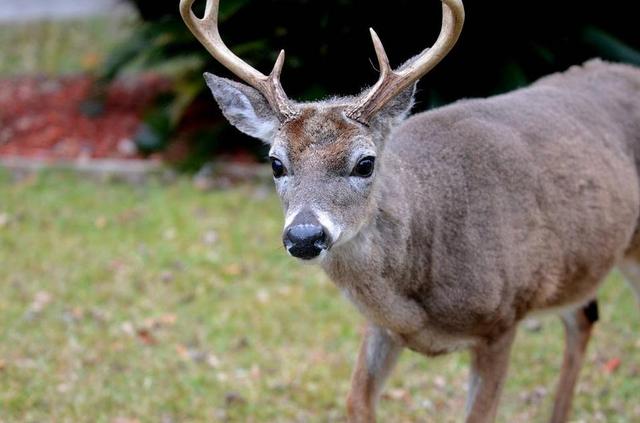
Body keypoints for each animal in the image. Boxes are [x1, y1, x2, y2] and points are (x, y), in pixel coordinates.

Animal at [179, 0, 640, 421]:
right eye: (276, 162)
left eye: (365, 163)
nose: (305, 235)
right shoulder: (381, 327)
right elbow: (357, 401)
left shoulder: (503, 318)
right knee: (582, 318)